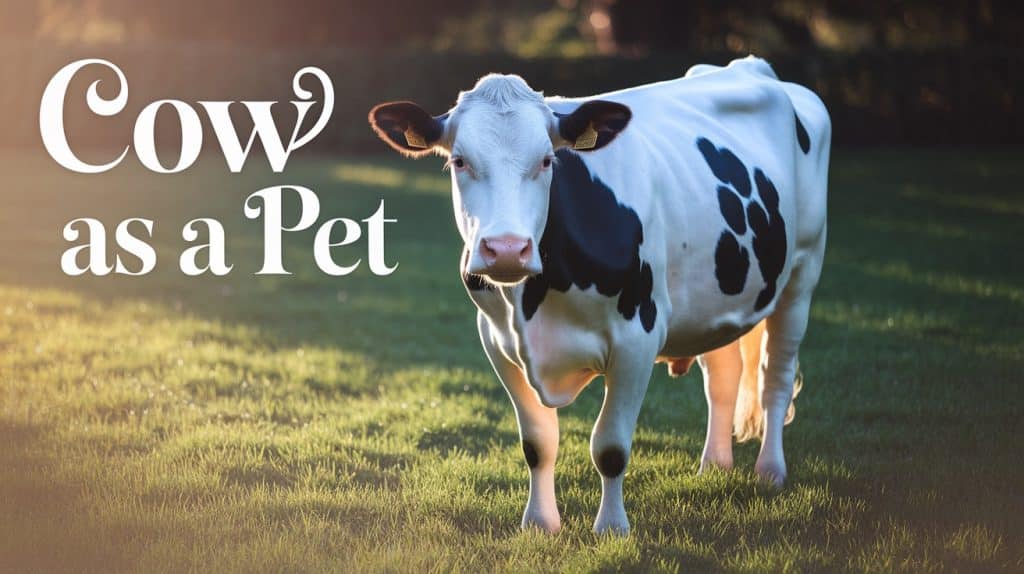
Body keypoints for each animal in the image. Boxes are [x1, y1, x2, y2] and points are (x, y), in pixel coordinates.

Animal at [368, 56, 830, 535]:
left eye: (548, 160)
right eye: (459, 161)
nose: (507, 249)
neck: (534, 307)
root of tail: (750, 66)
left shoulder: (637, 339)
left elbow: (610, 447)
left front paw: (611, 528)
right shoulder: (496, 341)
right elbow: (538, 442)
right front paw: (540, 522)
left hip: (802, 273)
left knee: (776, 376)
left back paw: (770, 470)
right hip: (716, 300)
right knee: (722, 377)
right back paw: (714, 466)